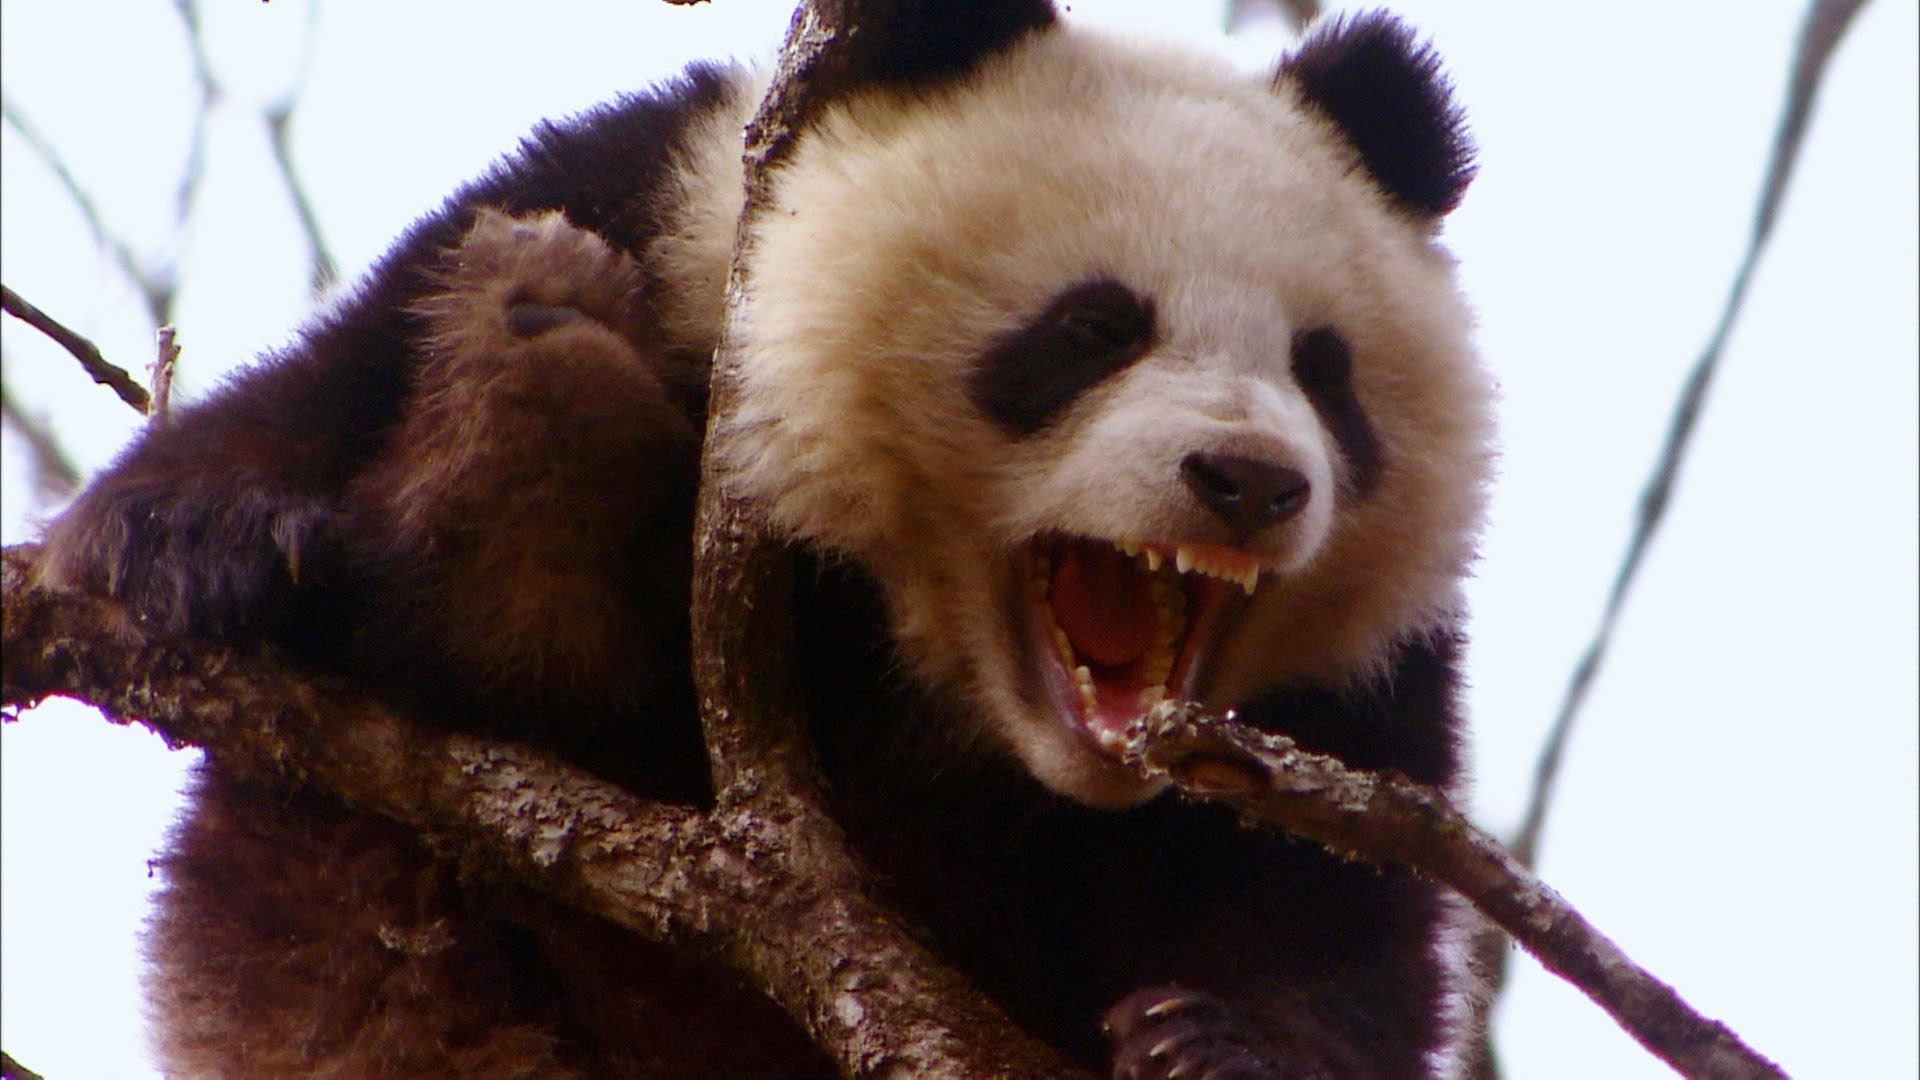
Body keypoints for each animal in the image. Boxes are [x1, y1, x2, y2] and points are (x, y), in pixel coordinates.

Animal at [37, 3, 1492, 1077]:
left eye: (1324, 373)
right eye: (1093, 329)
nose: (1249, 483)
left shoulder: (1356, 697)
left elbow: (1335, 920)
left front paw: (1210, 1044)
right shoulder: (673, 205)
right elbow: (352, 361)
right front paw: (194, 535)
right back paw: (530, 450)